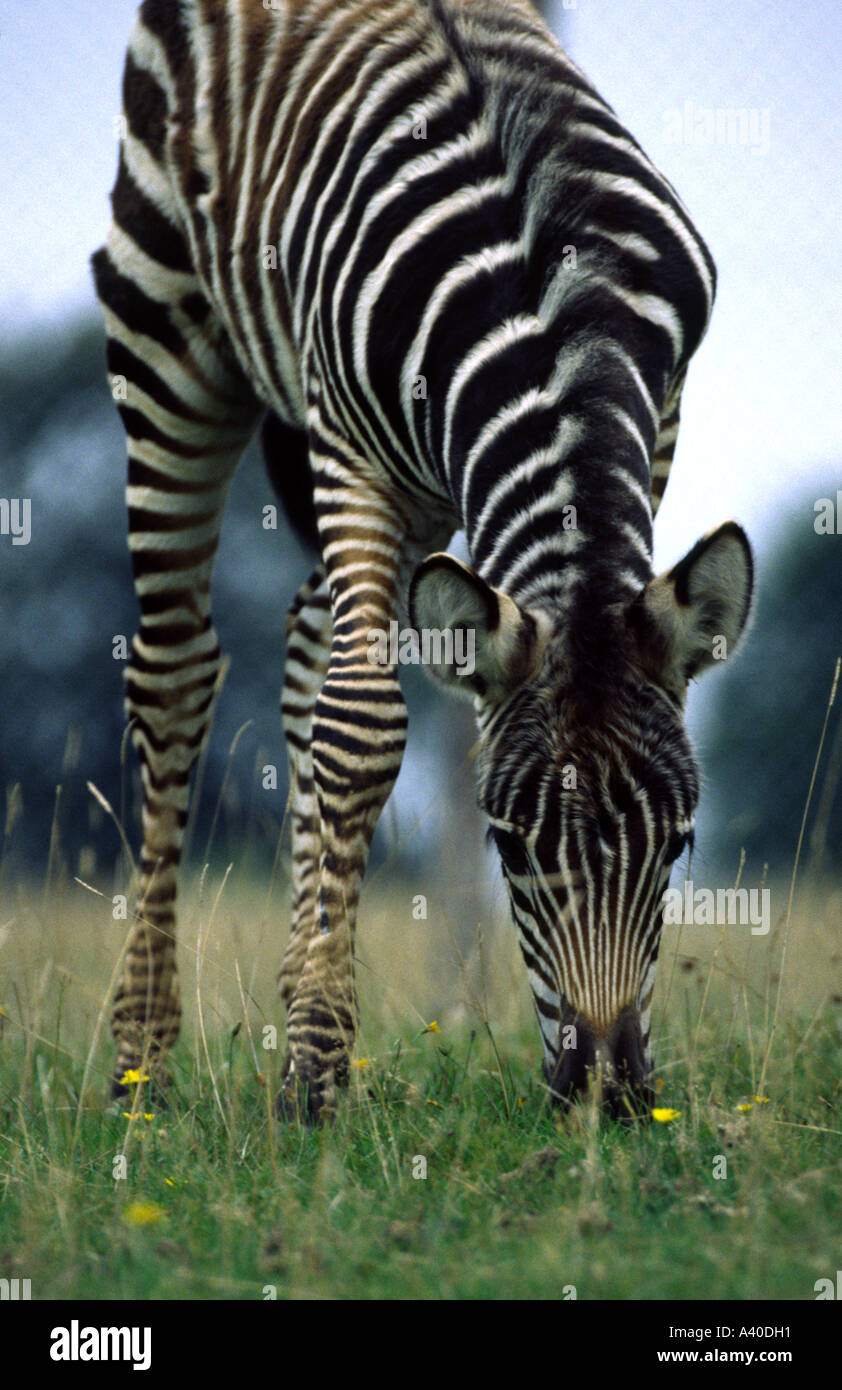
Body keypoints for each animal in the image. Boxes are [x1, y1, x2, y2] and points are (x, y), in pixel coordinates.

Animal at [93, 0, 753, 1120]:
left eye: (679, 843)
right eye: (509, 847)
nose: (605, 1097)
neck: (553, 300)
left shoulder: (656, 413)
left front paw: (310, 1037)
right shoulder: (347, 446)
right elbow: (359, 727)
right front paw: (311, 1080)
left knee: (308, 639)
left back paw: (297, 983)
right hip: (166, 333)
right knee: (176, 672)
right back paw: (145, 1058)